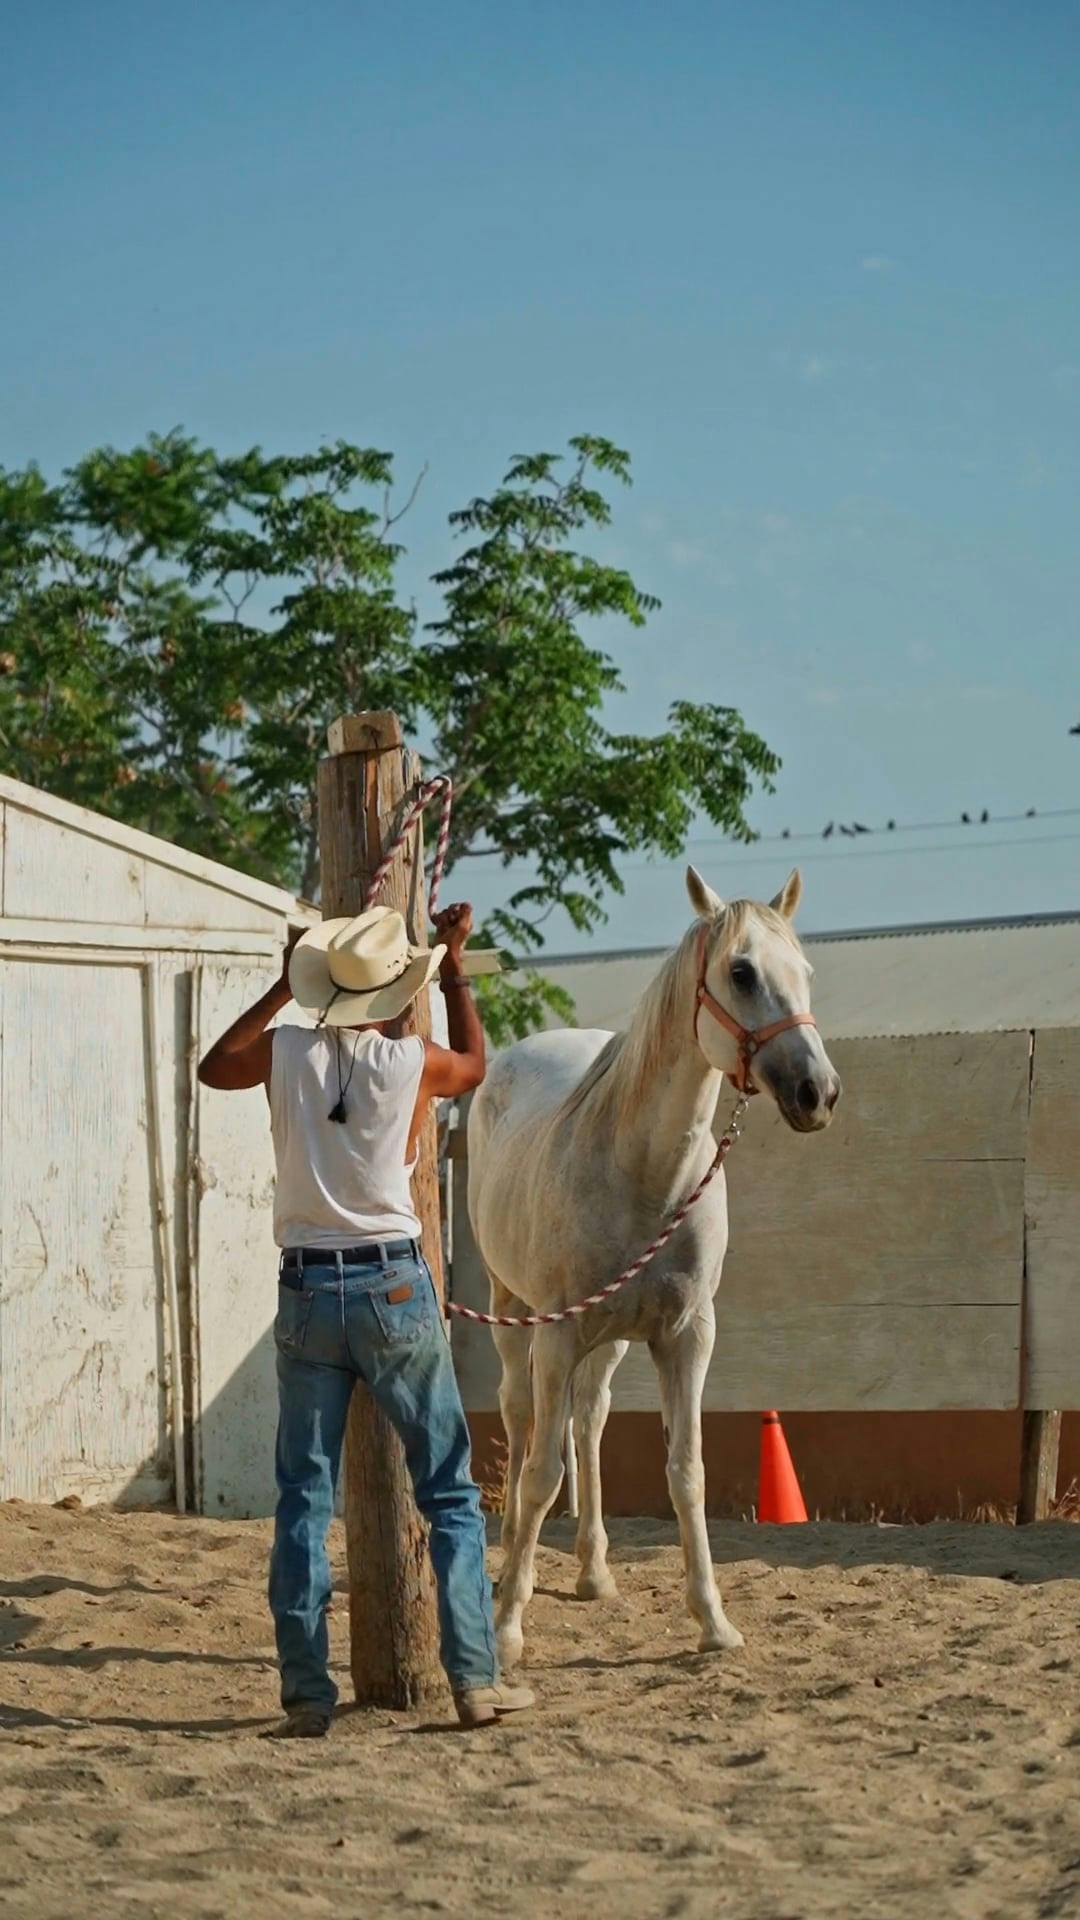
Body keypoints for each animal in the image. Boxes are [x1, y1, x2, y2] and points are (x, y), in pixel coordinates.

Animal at [466, 866, 841, 1670]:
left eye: (805, 972)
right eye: (741, 972)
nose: (818, 1093)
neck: (646, 1176)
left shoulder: (688, 1336)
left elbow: (686, 1471)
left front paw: (713, 1621)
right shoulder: (558, 1335)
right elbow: (541, 1473)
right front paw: (509, 1626)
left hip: (606, 1341)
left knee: (588, 1418)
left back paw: (592, 1569)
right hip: (516, 1313)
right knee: (522, 1418)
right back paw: (511, 1564)